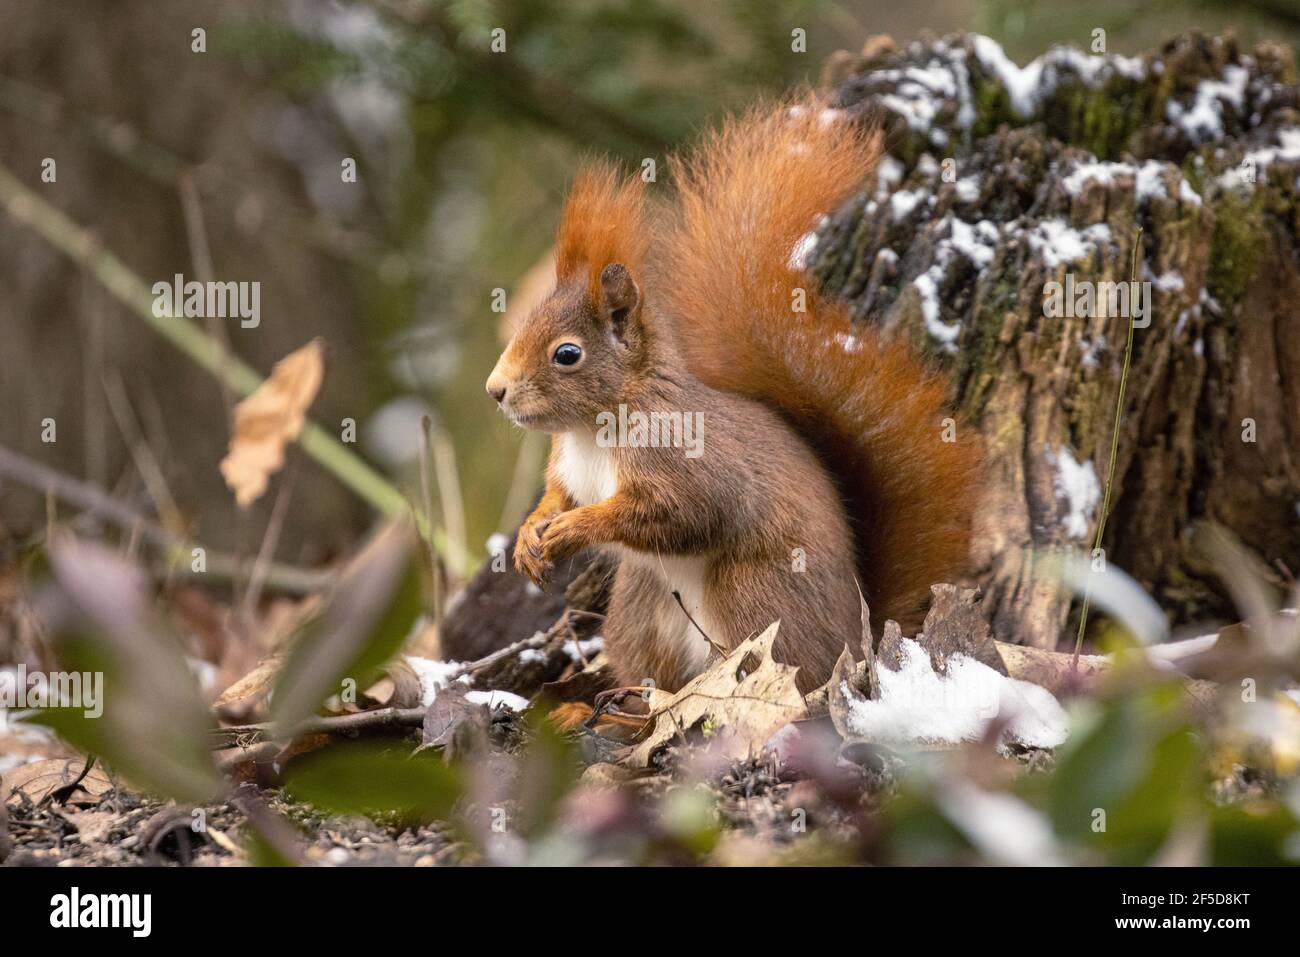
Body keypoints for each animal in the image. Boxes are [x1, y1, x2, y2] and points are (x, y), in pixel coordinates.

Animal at [485, 97, 982, 695]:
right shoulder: (568, 469)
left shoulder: (685, 461)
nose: (495, 391)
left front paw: (571, 531)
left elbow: (683, 513)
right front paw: (530, 536)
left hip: (750, 594)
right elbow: (558, 496)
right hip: (641, 604)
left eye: (567, 354)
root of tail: (858, 635)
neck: (593, 427)